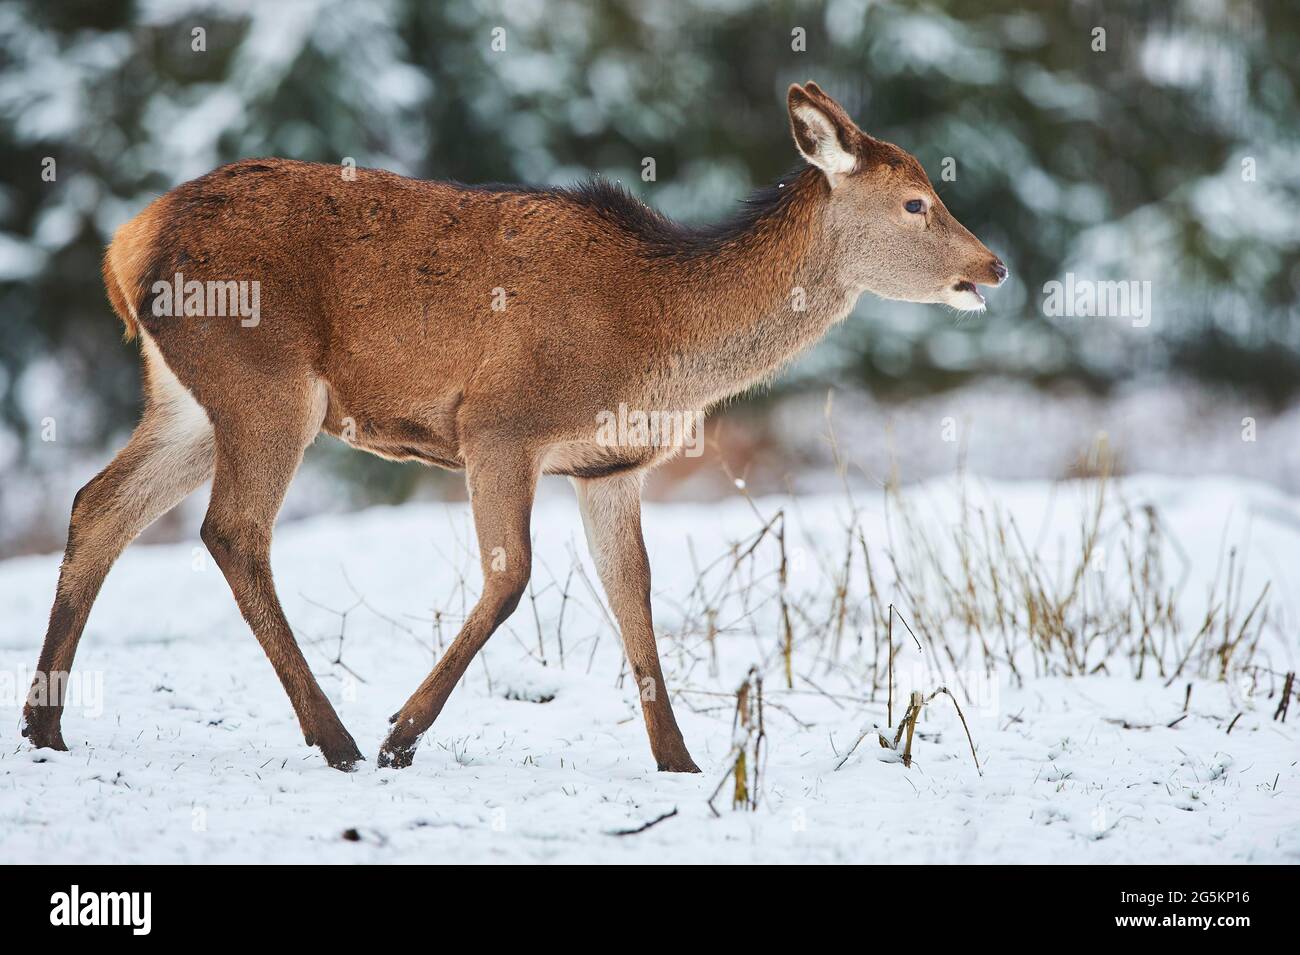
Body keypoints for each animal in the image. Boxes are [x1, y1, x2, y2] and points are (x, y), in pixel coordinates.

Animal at [22, 82, 1005, 773]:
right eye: (917, 202)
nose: (993, 265)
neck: (662, 338)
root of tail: (126, 243)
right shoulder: (500, 426)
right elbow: (512, 577)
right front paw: (402, 733)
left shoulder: (611, 464)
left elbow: (634, 594)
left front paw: (681, 761)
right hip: (266, 382)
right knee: (232, 531)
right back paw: (336, 736)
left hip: (190, 399)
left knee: (98, 504)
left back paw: (45, 723)